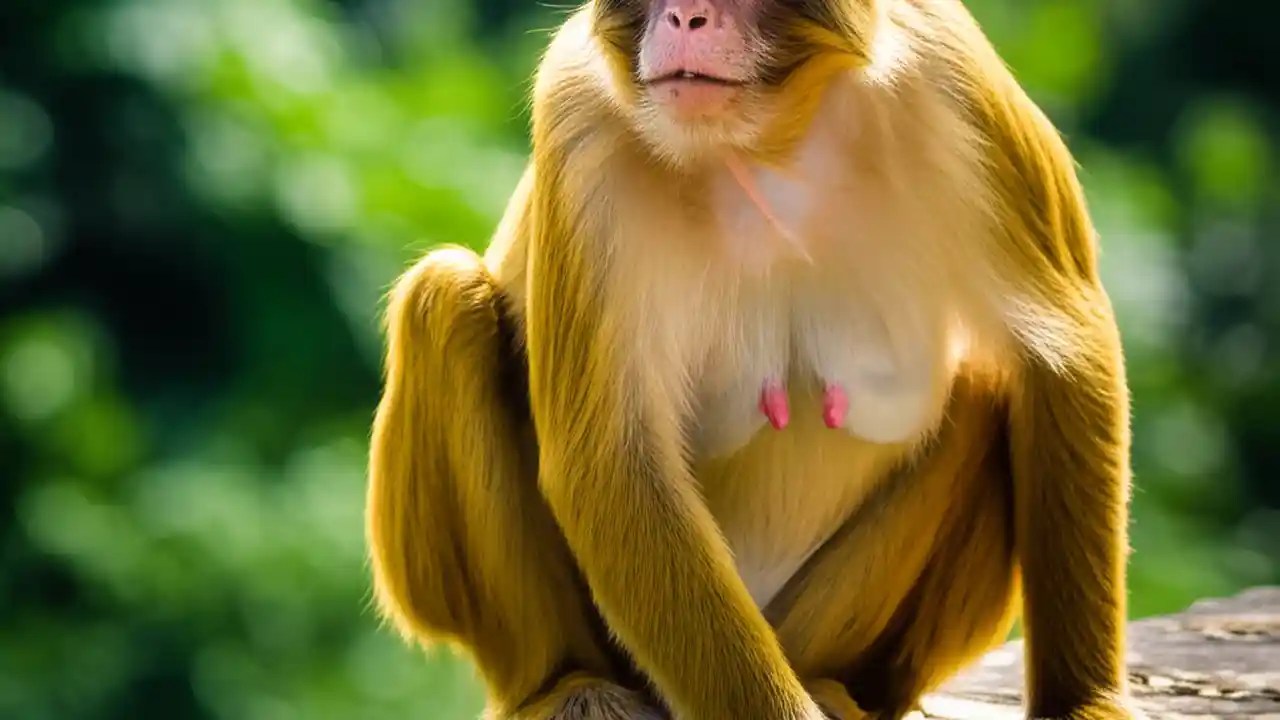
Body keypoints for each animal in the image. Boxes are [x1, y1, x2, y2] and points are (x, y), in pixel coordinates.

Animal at [365, 0, 1137, 719]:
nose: (685, 15)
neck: (769, 142)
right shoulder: (578, 114)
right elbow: (611, 460)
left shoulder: (953, 79)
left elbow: (1064, 358)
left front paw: (1083, 700)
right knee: (445, 299)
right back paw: (562, 682)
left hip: (806, 625)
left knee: (985, 384)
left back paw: (845, 688)